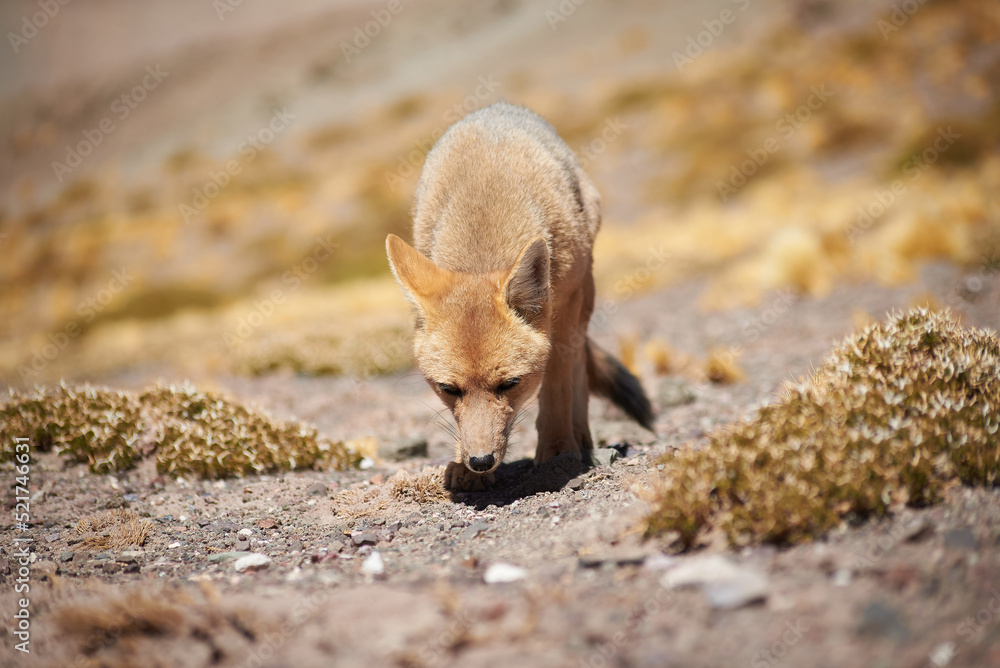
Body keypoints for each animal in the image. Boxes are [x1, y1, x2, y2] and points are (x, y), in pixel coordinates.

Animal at [386, 102, 654, 491]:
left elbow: (557, 384)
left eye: (510, 384)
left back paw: (580, 438)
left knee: (577, 369)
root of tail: (497, 106)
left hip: (582, 295)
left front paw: (558, 450)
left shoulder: (565, 306)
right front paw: (463, 467)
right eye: (449, 389)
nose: (481, 461)